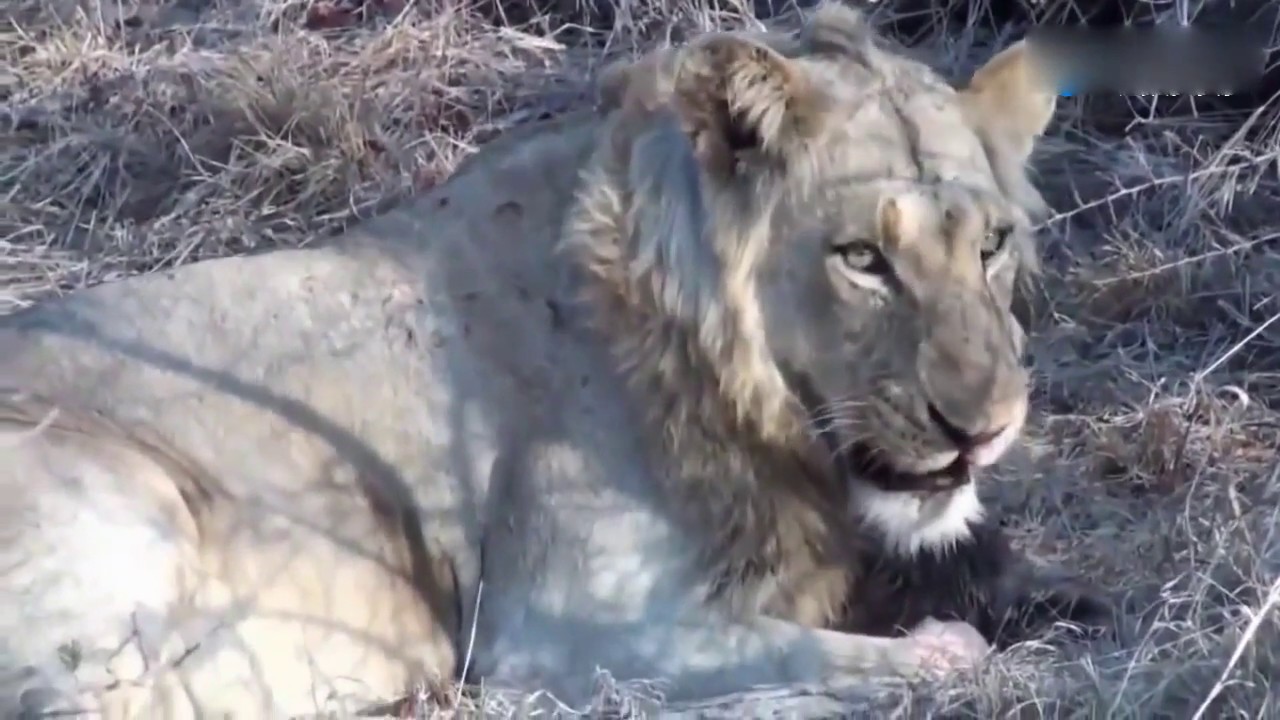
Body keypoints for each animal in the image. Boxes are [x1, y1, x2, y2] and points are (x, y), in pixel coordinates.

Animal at [0, 5, 1108, 717]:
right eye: (862, 259)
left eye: (989, 247)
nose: (983, 430)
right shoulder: (563, 627)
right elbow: (844, 659)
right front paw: (959, 654)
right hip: (126, 501)